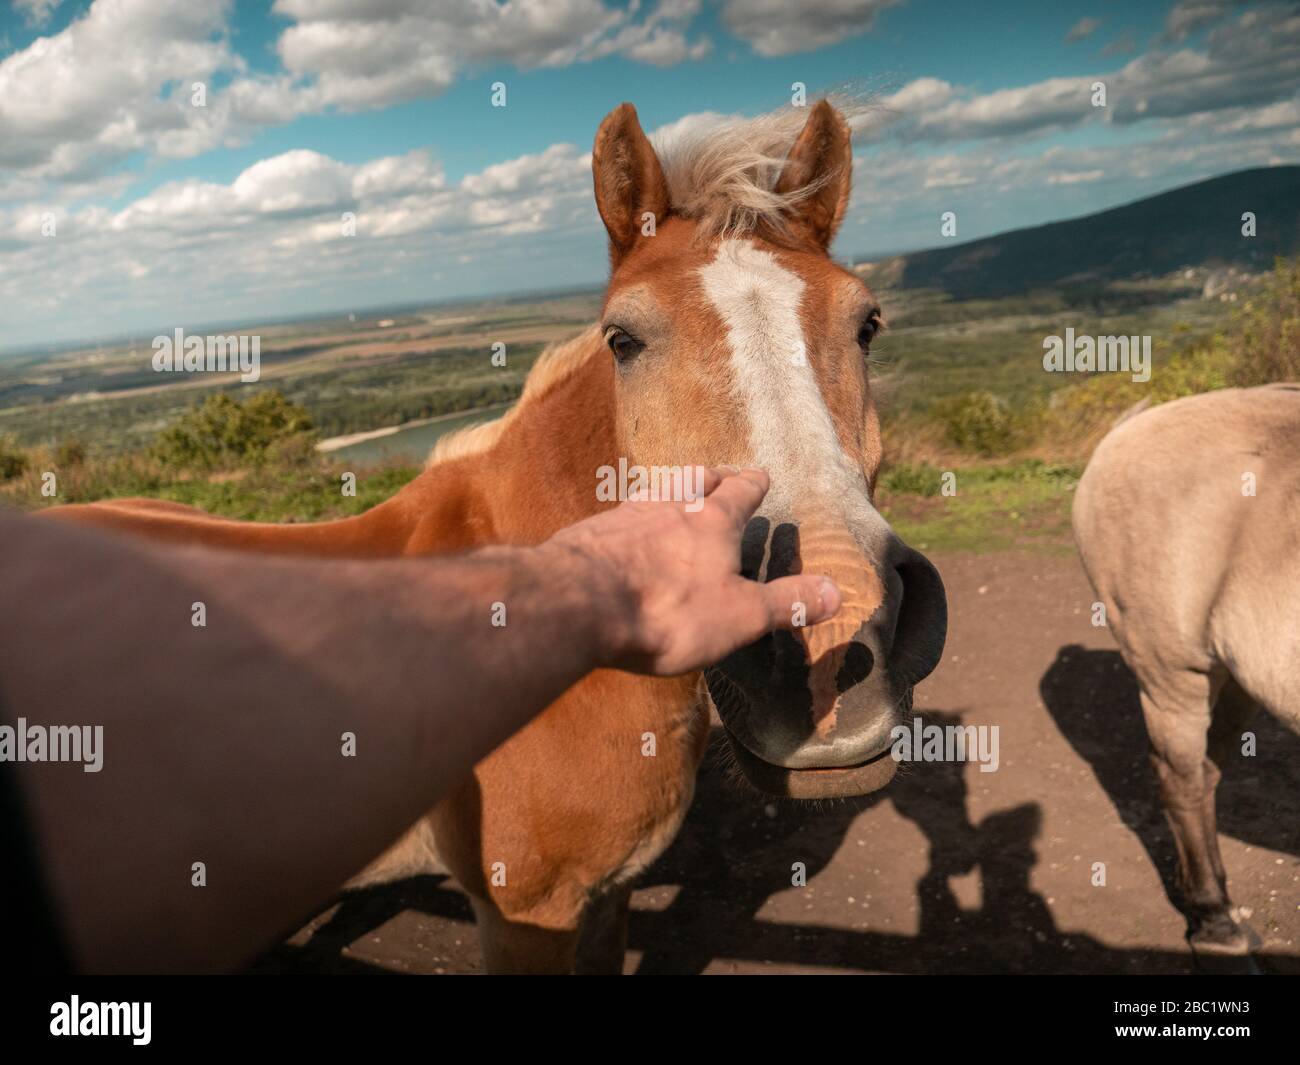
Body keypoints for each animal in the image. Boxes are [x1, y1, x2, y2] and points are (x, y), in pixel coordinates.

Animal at [1072, 384, 1300, 960]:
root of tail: (1129, 429)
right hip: (1170, 673)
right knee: (1180, 779)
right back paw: (1214, 919)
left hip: (1236, 679)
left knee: (1206, 773)